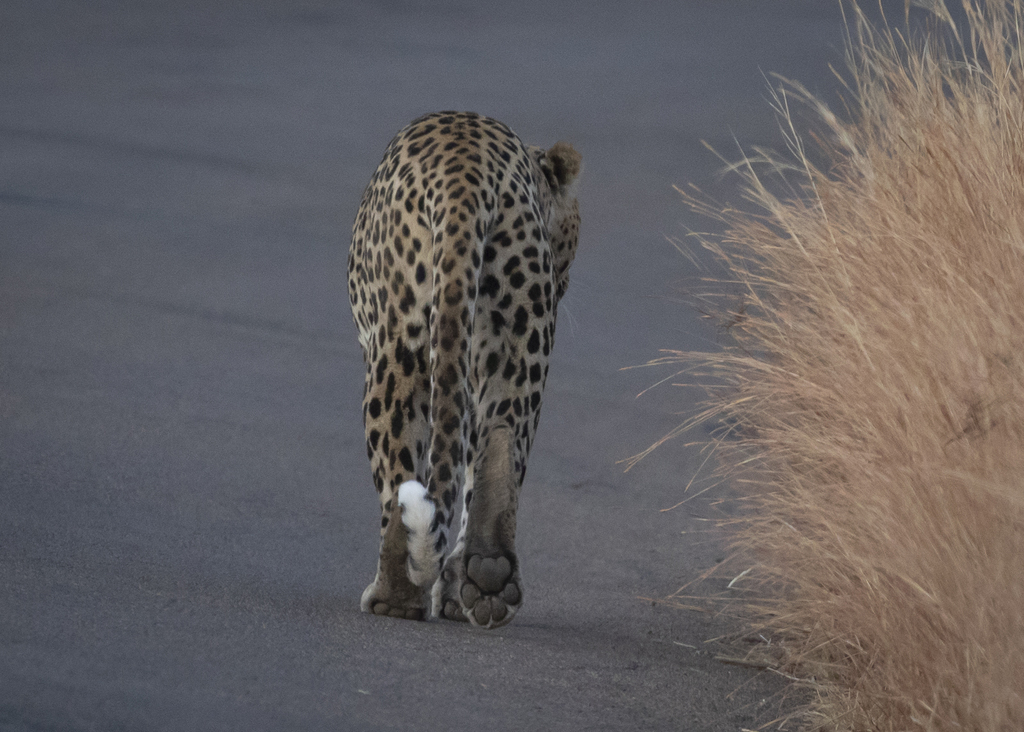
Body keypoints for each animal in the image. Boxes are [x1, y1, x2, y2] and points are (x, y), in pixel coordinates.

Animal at [347, 111, 581, 629]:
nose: (565, 281)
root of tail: (465, 175)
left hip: (396, 348)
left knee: (397, 471)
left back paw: (394, 597)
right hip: (519, 343)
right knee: (501, 442)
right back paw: (487, 576)